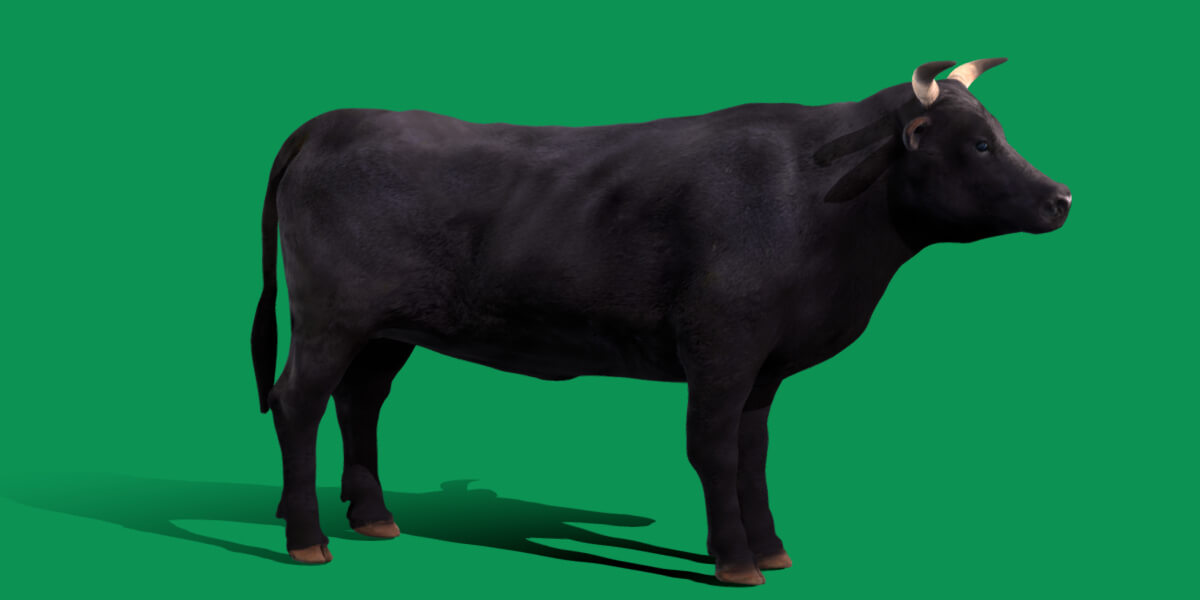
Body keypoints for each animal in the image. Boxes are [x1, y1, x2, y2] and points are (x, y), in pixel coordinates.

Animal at [250, 58, 1070, 584]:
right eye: (980, 144)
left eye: (998, 134)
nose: (1062, 198)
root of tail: (336, 119)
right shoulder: (721, 348)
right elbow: (710, 449)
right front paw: (734, 560)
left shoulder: (764, 367)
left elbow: (751, 452)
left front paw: (769, 547)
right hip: (329, 319)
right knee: (298, 404)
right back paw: (308, 539)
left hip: (386, 332)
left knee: (360, 402)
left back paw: (374, 517)